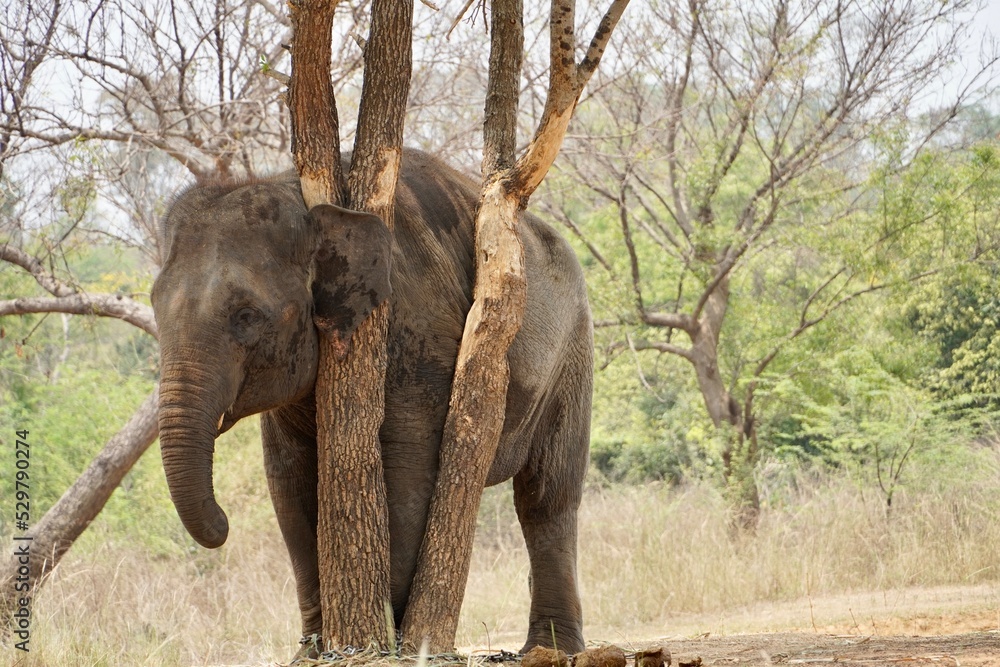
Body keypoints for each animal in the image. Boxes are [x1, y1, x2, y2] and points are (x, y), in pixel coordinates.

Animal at [151, 149, 593, 654]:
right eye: (154, 308)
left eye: (246, 316)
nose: (223, 523)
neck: (305, 199)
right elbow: (289, 482)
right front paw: (313, 649)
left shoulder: (414, 333)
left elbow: (407, 475)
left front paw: (395, 641)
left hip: (572, 351)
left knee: (548, 497)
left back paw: (552, 648)